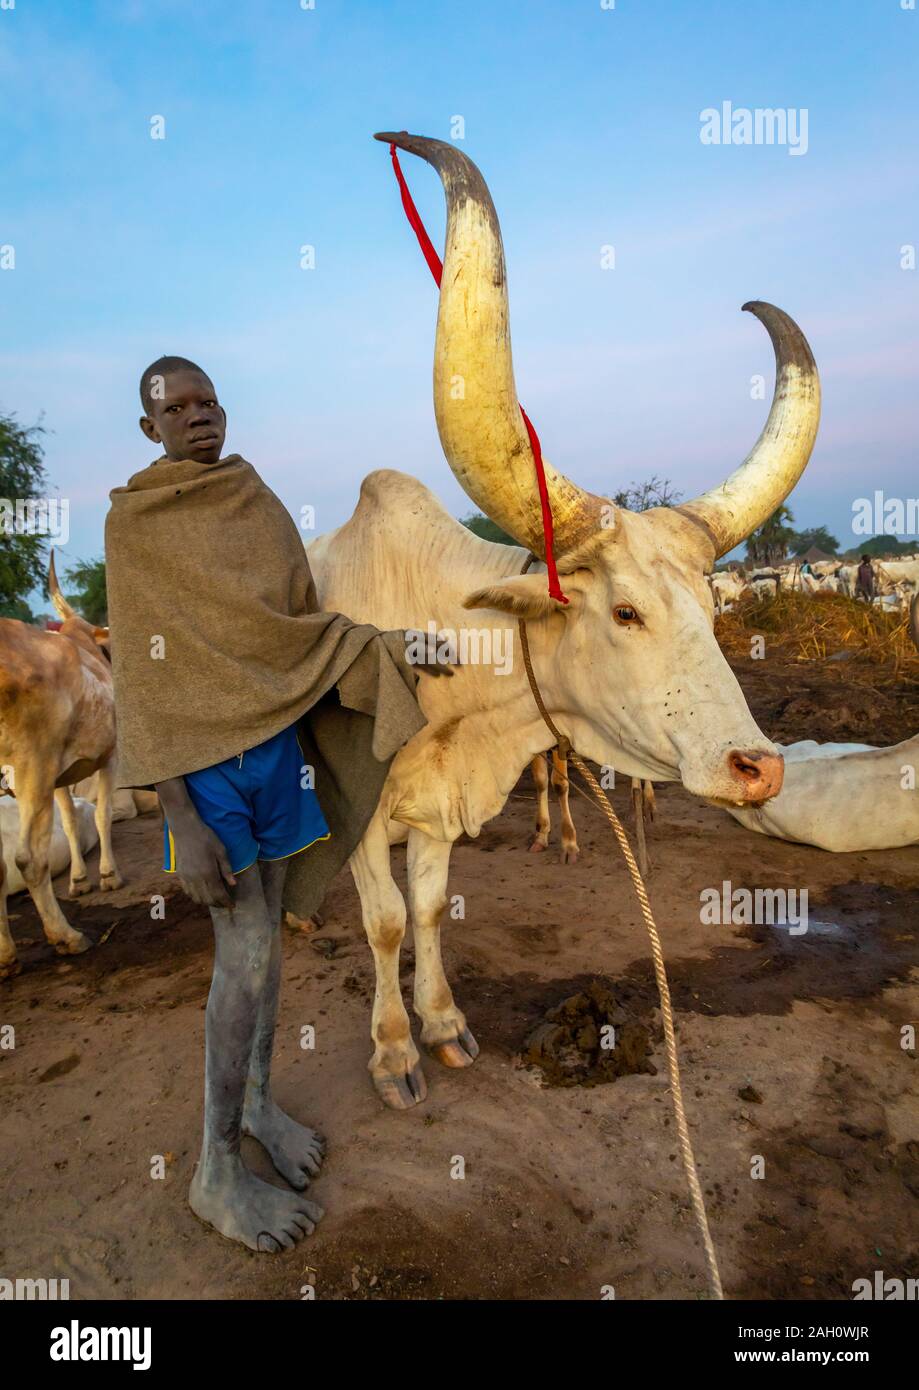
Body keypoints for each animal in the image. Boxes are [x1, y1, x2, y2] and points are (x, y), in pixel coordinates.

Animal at [0, 550, 123, 978]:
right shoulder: (109, 755)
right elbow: (101, 814)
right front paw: (108, 875)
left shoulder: (60, 778)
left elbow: (72, 821)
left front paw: (81, 879)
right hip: (30, 767)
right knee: (27, 860)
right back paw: (66, 936)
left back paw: (6, 956)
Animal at [304, 132, 823, 1106]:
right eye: (623, 610)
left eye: (712, 608)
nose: (759, 769)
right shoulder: (359, 808)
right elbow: (385, 921)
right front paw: (392, 1053)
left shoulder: (434, 817)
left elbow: (425, 910)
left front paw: (443, 1027)